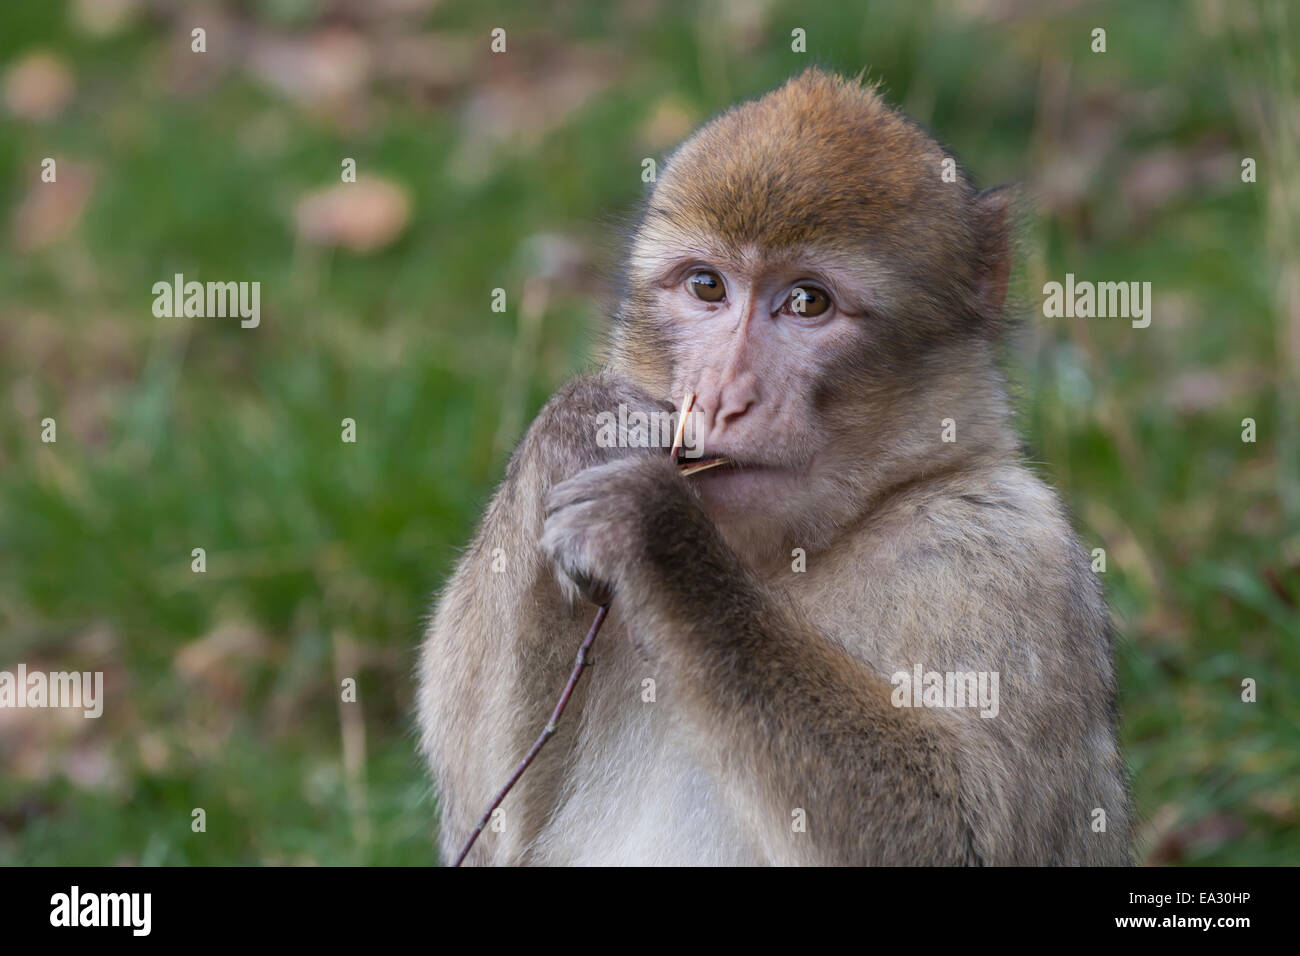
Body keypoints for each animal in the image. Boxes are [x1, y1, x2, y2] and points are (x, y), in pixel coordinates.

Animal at [416, 68, 1132, 866]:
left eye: (807, 302)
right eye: (706, 285)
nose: (723, 395)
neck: (794, 553)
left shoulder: (1014, 554)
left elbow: (964, 830)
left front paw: (656, 532)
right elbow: (491, 821)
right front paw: (583, 425)